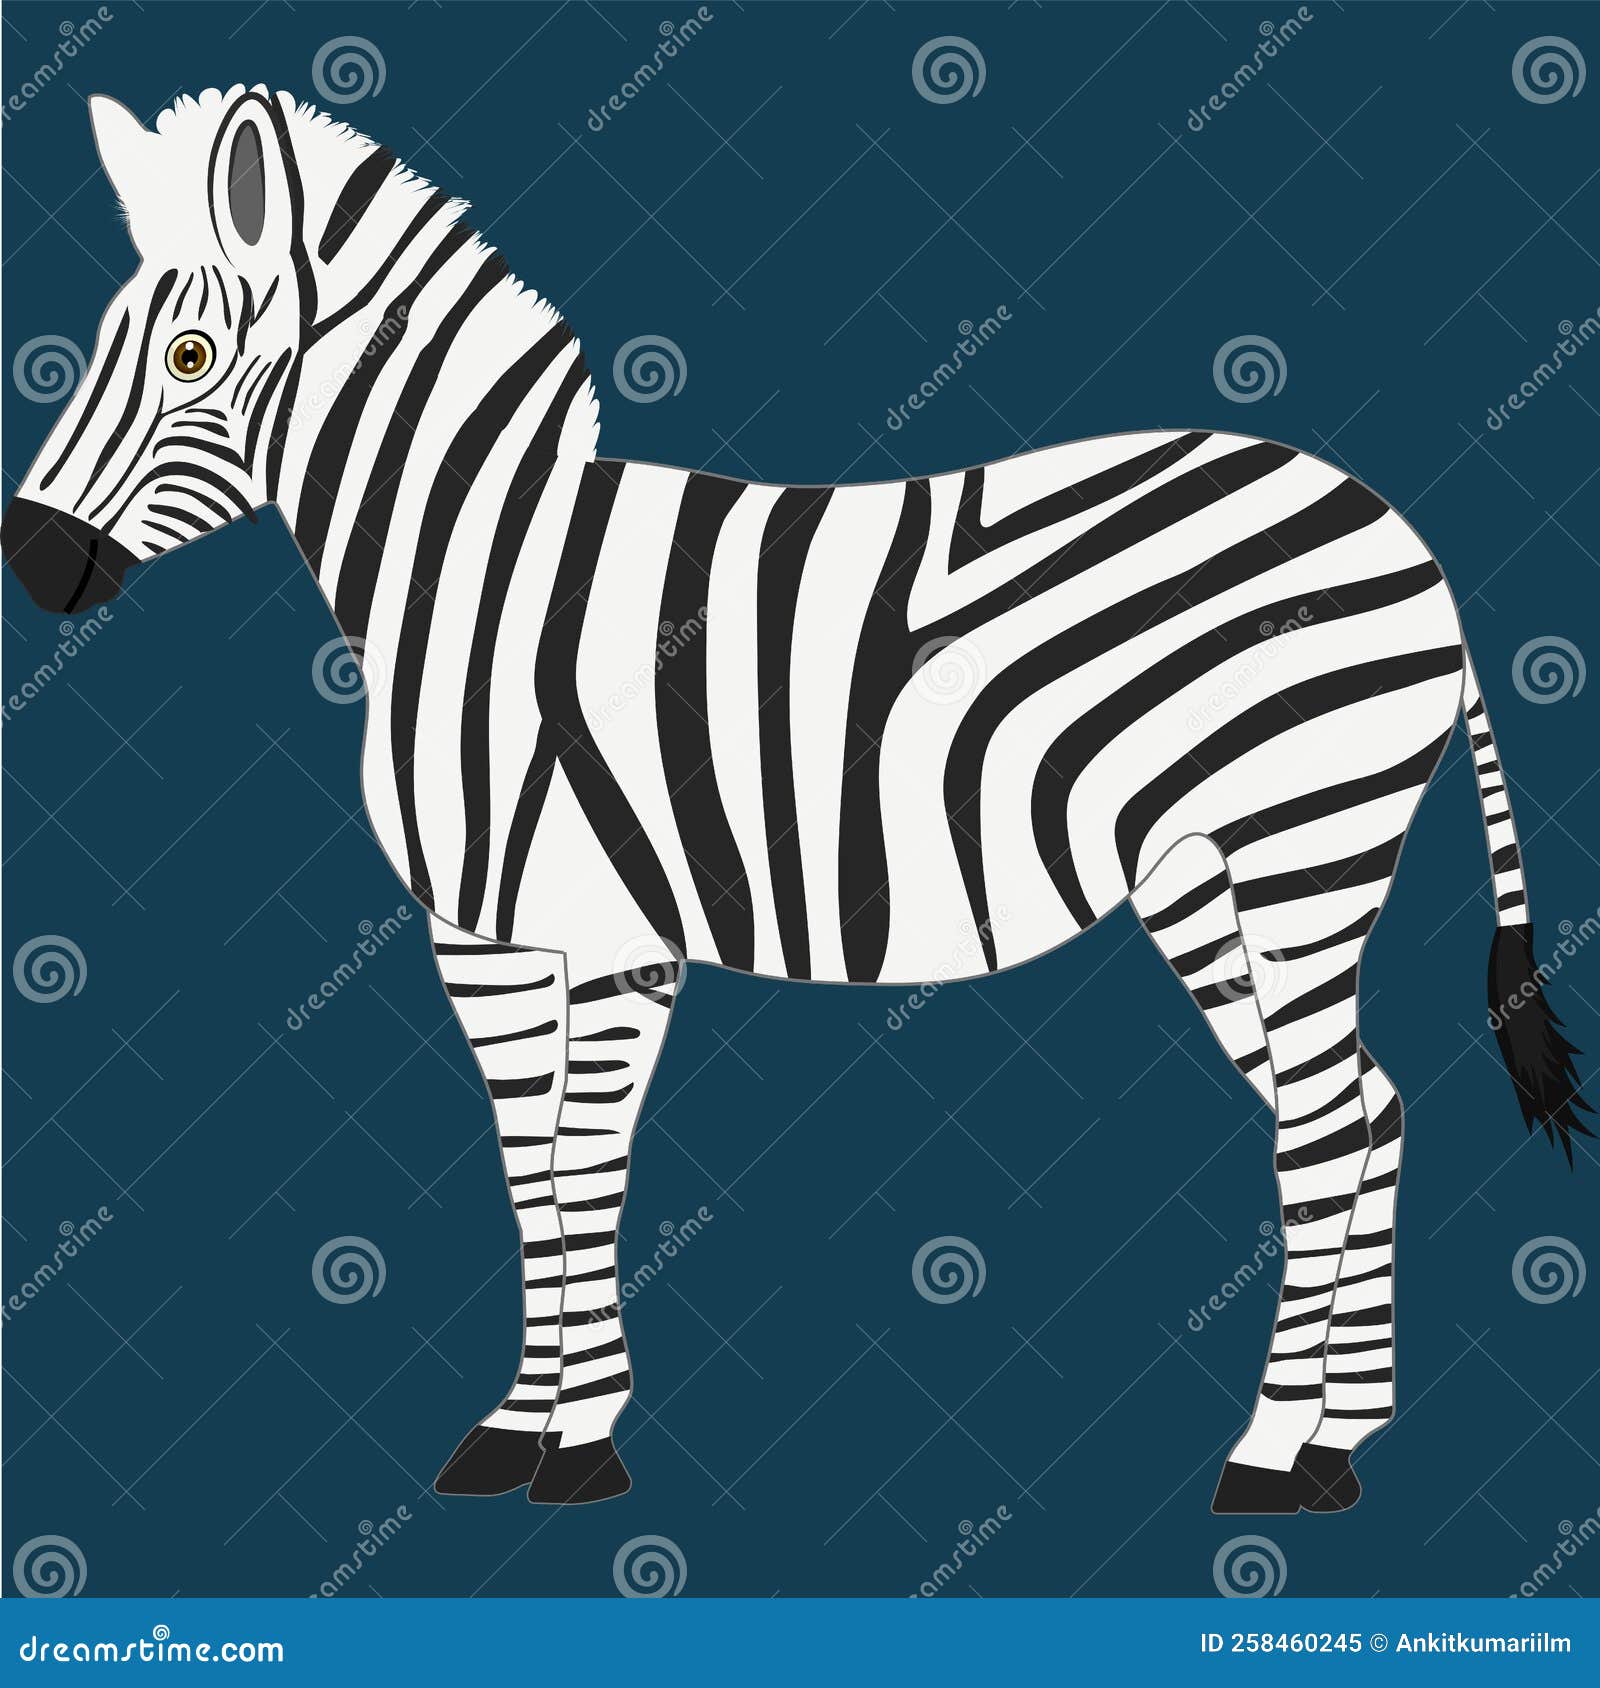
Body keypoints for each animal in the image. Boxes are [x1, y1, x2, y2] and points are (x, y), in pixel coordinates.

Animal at [3, 86, 1588, 1515]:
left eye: (191, 356)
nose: (28, 560)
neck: (477, 588)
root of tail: (1412, 539)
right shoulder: (552, 938)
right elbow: (556, 1170)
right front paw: (545, 1429)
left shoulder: (553, 935)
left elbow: (556, 1168)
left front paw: (563, 1438)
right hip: (1207, 879)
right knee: (1369, 1106)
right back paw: (1341, 1439)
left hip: (1301, 843)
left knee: (1321, 1124)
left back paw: (1267, 1455)